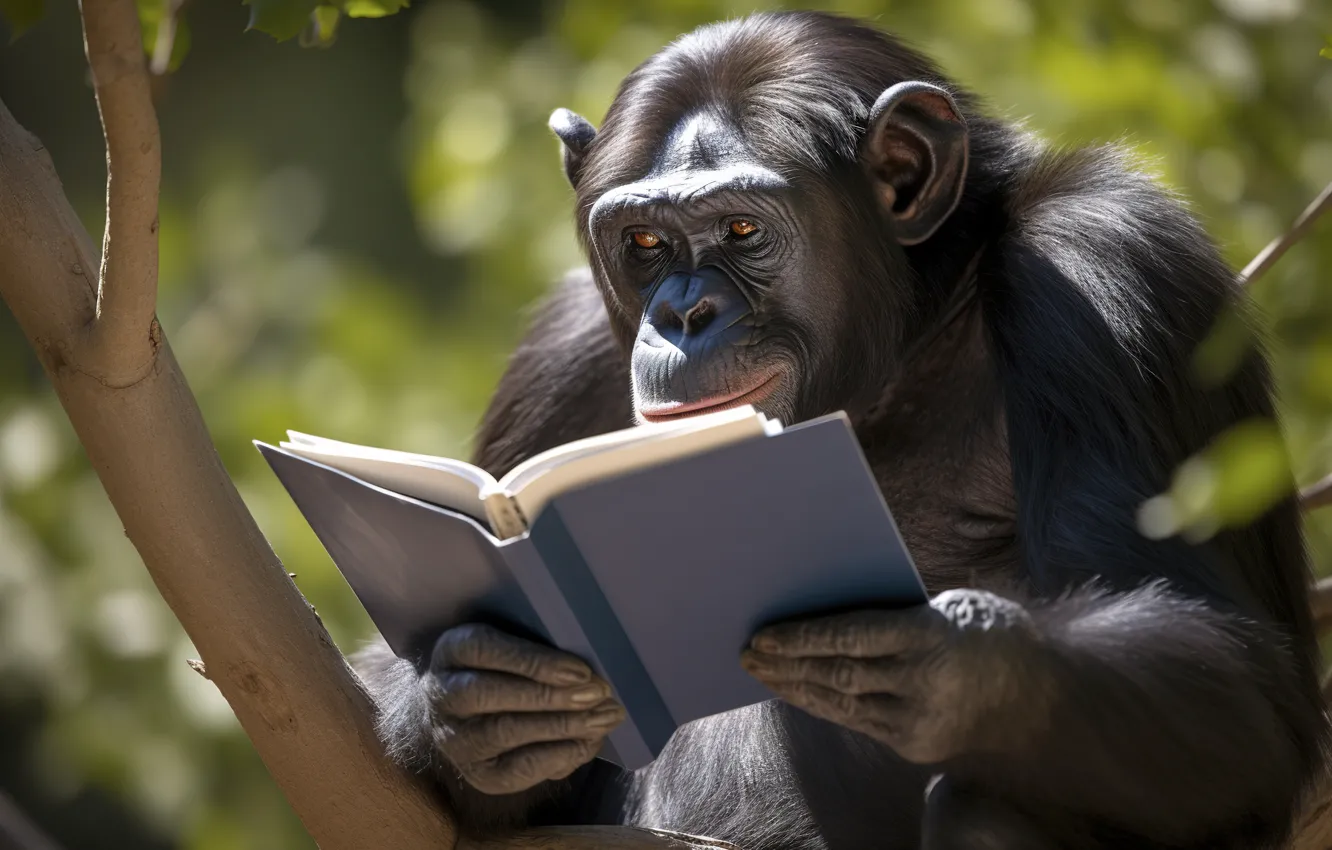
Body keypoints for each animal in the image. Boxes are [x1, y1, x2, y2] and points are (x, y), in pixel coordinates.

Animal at [354, 11, 1326, 849]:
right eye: (644, 243)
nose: (683, 315)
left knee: (993, 805)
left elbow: (1234, 681)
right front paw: (472, 695)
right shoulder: (561, 352)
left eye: (742, 226)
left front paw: (948, 667)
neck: (911, 332)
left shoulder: (1111, 262)